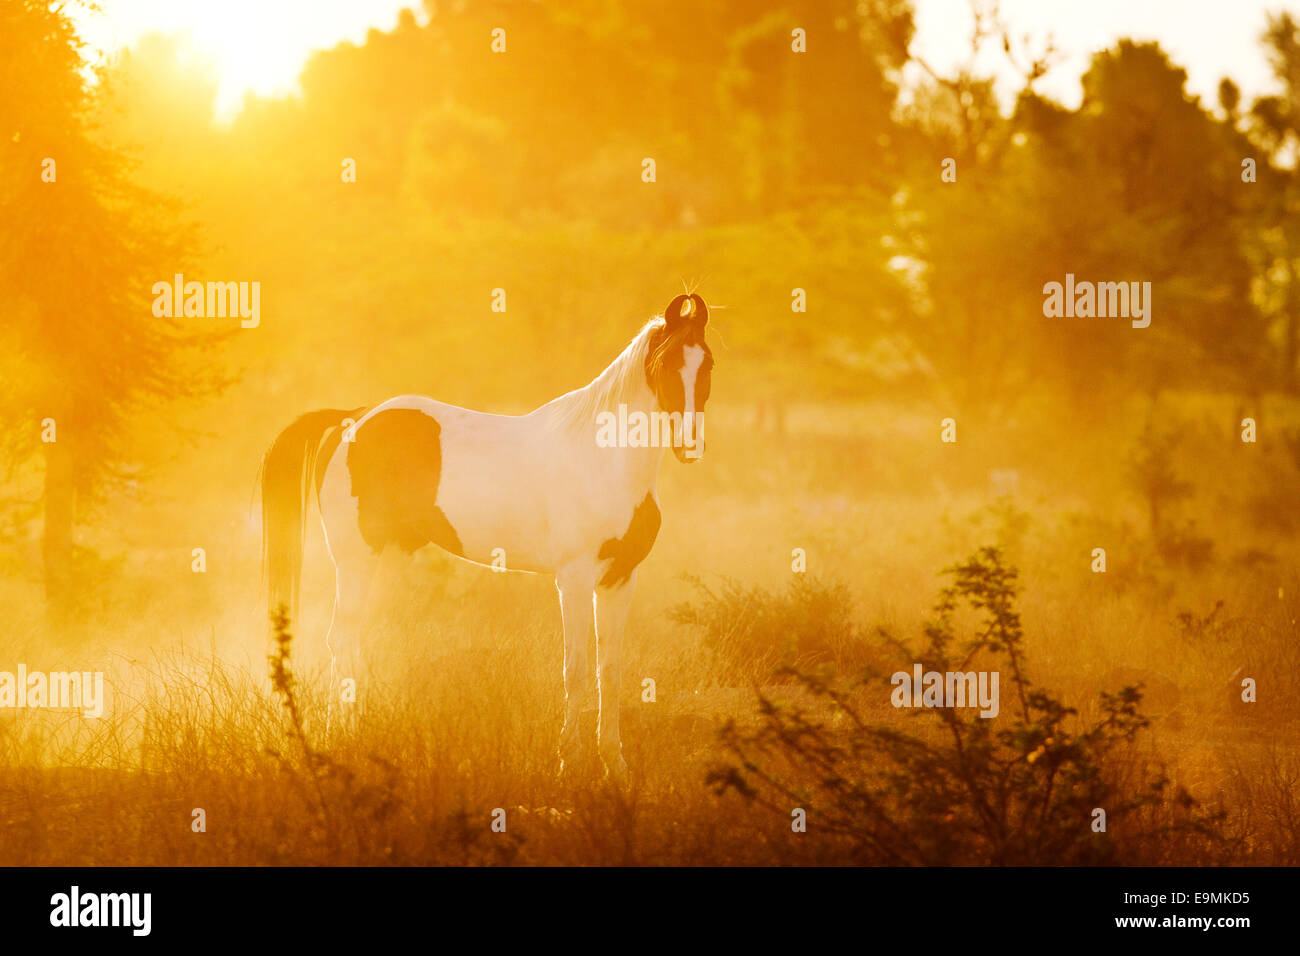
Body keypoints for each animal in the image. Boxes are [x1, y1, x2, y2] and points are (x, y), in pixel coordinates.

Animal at [260, 293, 714, 781]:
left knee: (361, 639)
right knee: (341, 639)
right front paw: (568, 766)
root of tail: (351, 419)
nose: (689, 445)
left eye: (707, 364)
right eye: (666, 364)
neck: (603, 460)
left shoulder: (619, 579)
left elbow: (608, 671)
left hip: (390, 558)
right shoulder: (574, 580)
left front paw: (615, 767)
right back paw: (339, 742)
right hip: (356, 558)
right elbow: (575, 670)